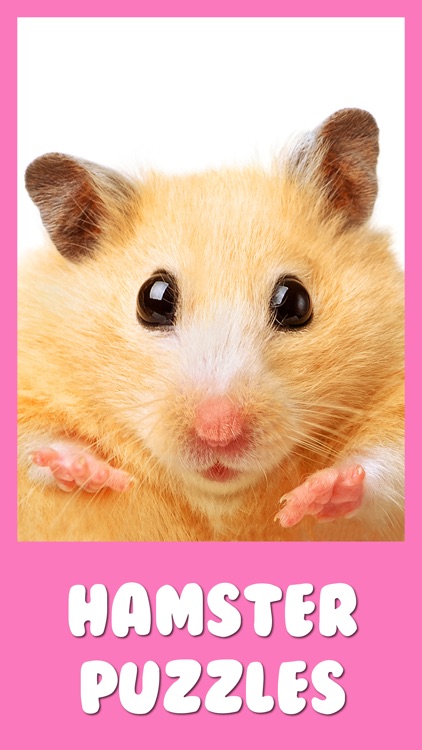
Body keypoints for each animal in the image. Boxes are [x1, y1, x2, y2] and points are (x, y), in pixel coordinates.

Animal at [18, 108, 404, 542]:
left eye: (295, 302)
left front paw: (319, 492)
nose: (219, 432)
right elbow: (36, 440)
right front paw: (89, 470)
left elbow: (384, 464)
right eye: (153, 299)